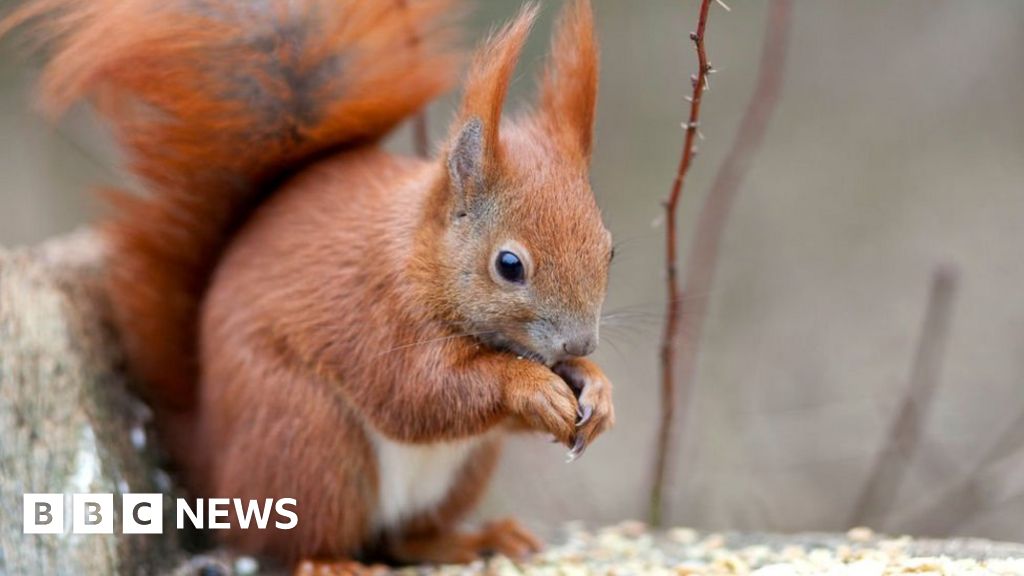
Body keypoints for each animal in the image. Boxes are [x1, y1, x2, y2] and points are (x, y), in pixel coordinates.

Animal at [4, 0, 616, 570]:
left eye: (610, 248)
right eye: (509, 265)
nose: (580, 342)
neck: (421, 257)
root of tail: (217, 470)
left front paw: (596, 386)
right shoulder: (378, 312)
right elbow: (420, 392)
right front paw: (531, 387)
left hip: (459, 469)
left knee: (405, 537)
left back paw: (476, 539)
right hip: (307, 441)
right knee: (297, 543)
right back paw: (330, 562)